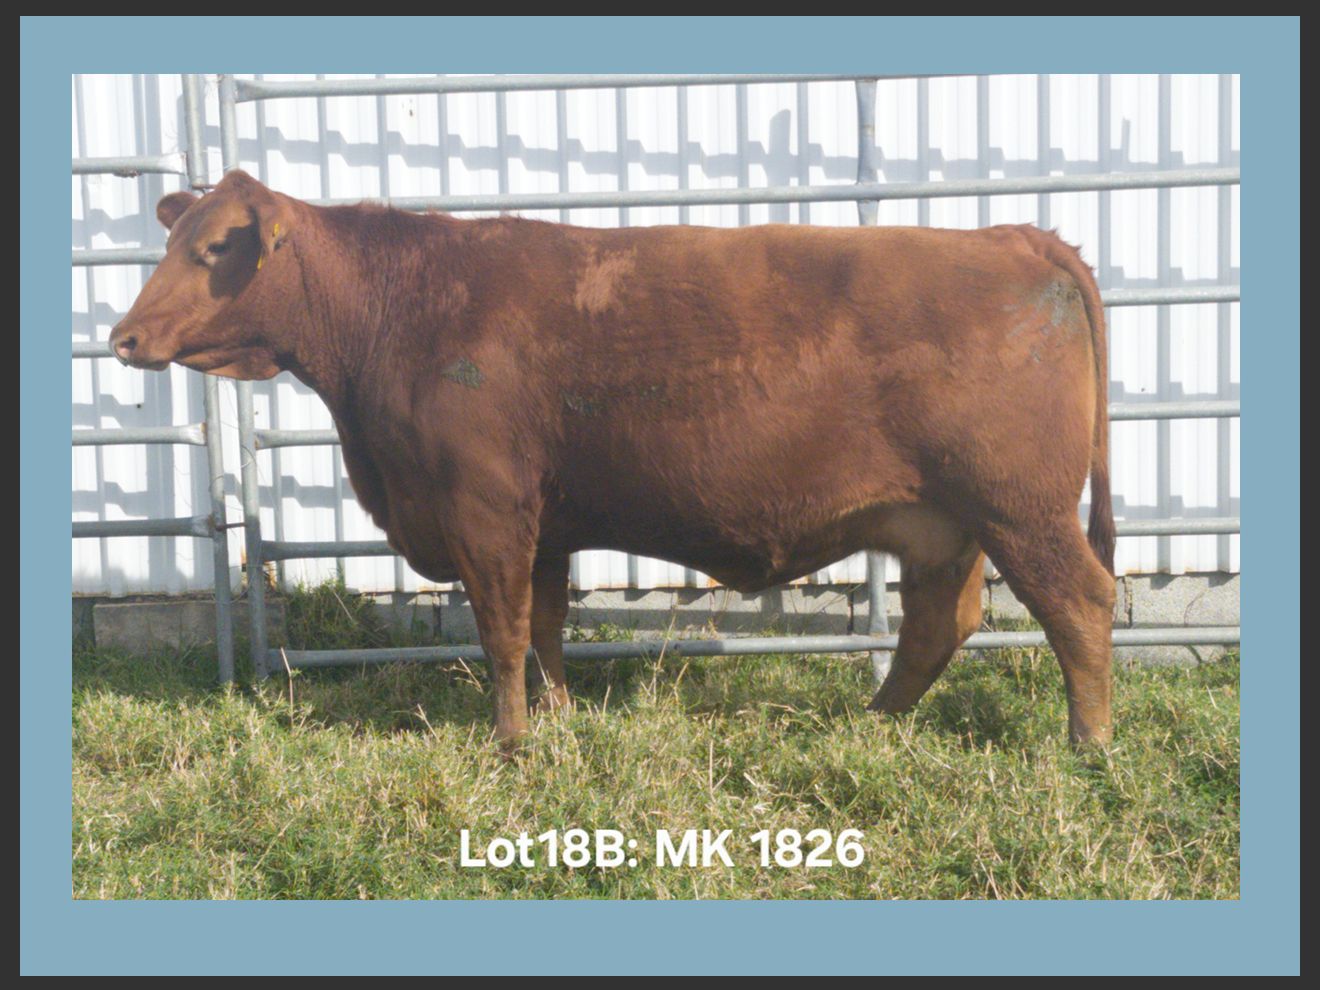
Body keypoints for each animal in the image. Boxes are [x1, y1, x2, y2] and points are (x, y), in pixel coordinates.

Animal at [111, 169, 1117, 749]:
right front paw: (556, 722)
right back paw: (871, 727)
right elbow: (547, 628)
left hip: (1019, 506)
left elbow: (503, 632)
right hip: (947, 521)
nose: (123, 337)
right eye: (171, 240)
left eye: (213, 248)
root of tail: (1010, 236)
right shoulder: (544, 525)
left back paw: (1088, 745)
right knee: (939, 624)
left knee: (1079, 604)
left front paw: (513, 745)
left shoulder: (484, 509)